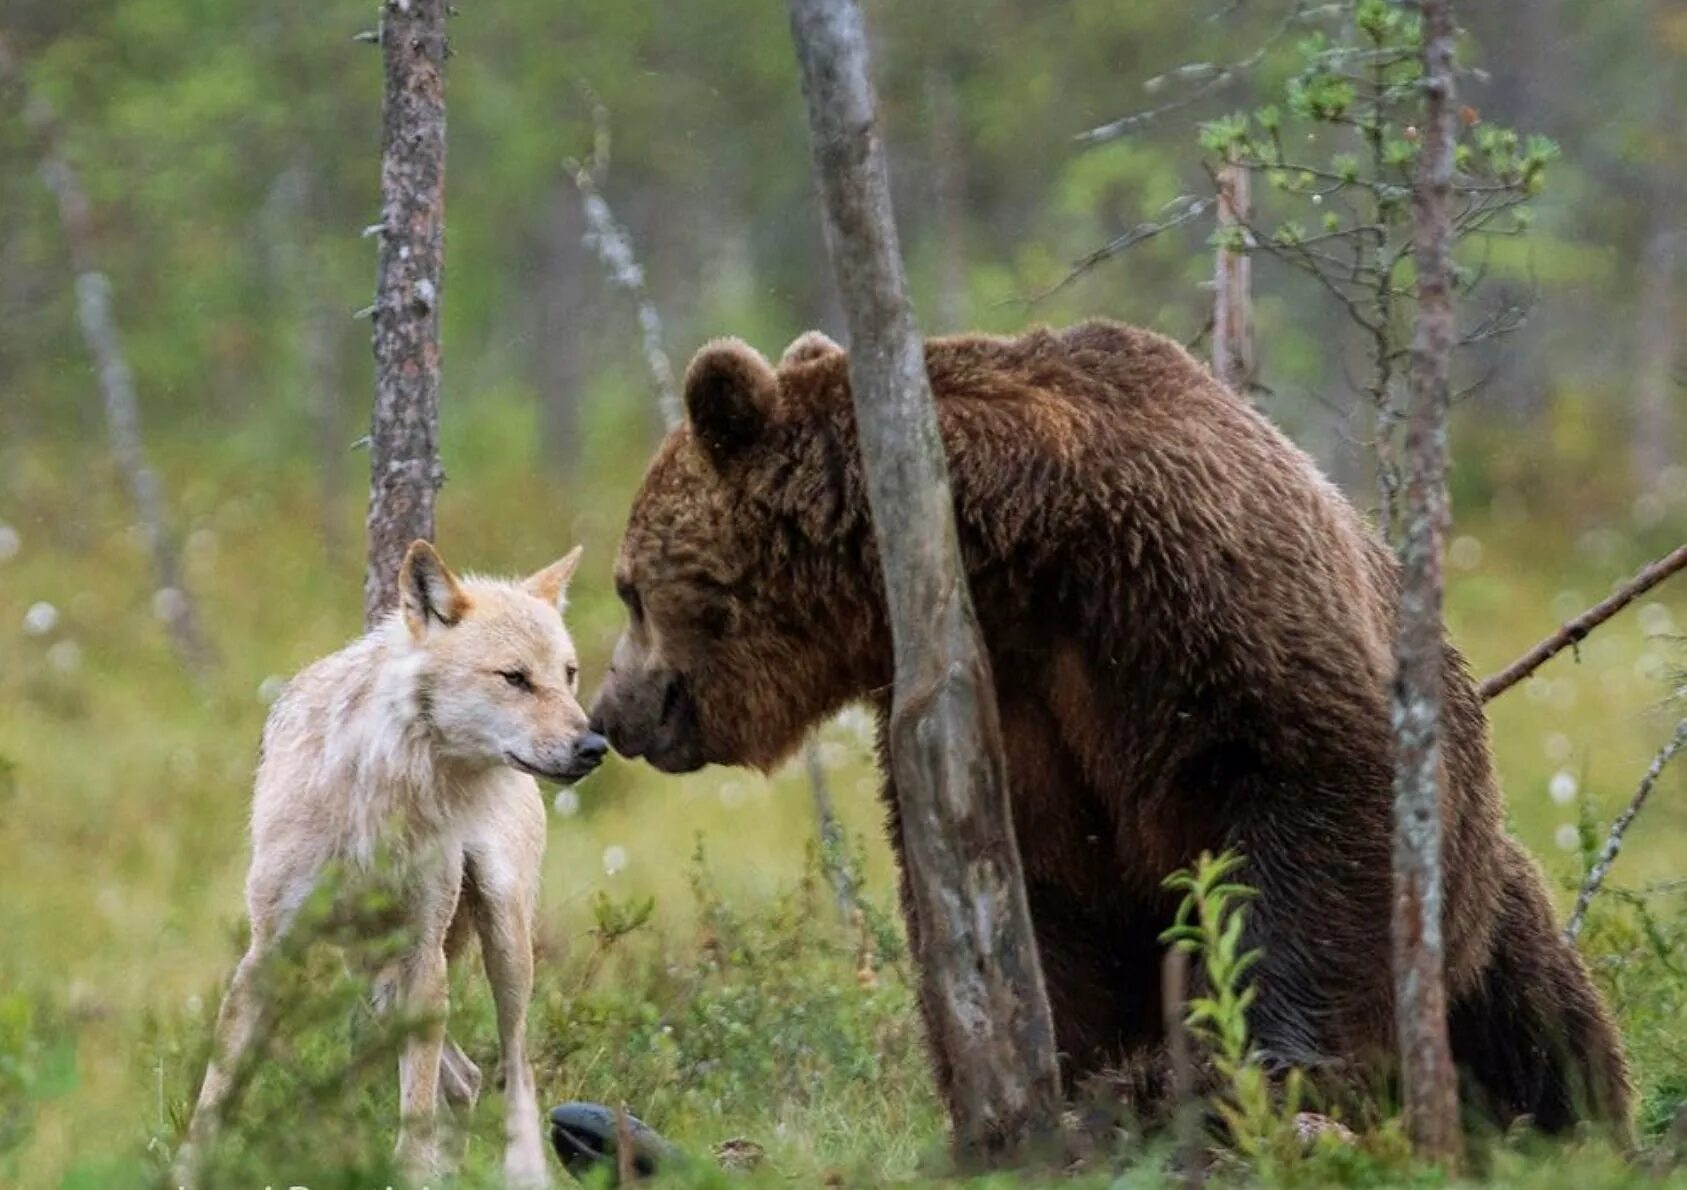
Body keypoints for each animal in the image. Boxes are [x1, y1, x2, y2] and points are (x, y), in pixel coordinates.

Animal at [593, 317, 1633, 1134]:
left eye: (627, 587)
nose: (612, 713)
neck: (1015, 541)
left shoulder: (1199, 590)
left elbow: (1314, 793)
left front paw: (1257, 1065)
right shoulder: (1000, 712)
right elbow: (1028, 904)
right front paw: (1068, 1087)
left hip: (1477, 897)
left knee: (1538, 1017)